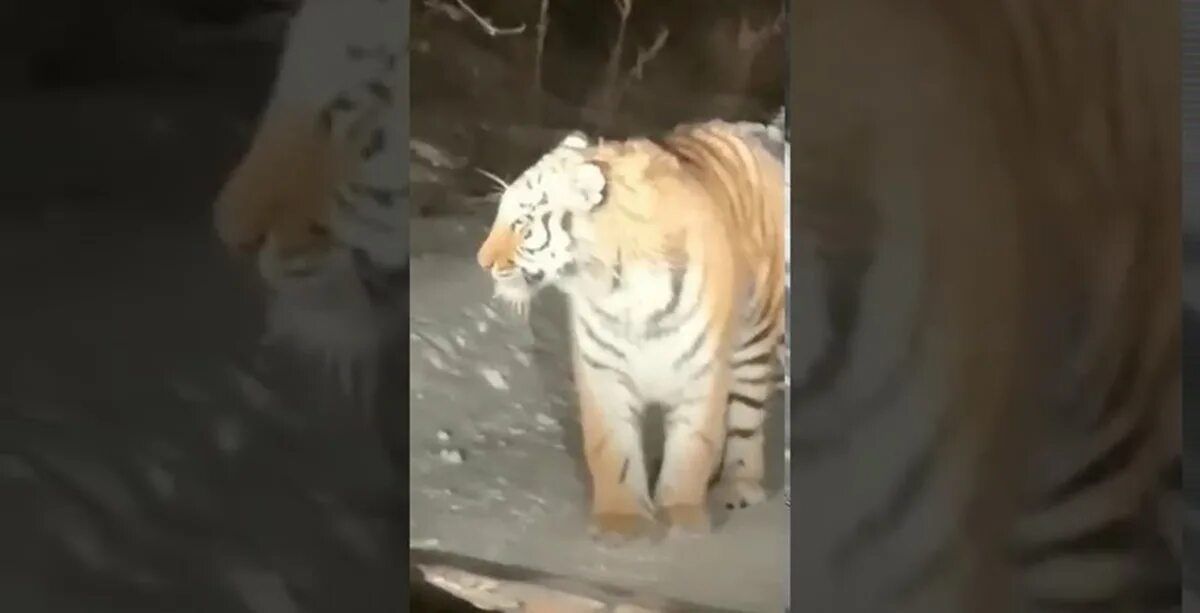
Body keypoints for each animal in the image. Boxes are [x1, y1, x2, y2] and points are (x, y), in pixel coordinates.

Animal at [475, 117, 787, 539]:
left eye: (523, 225)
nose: (482, 261)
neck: (618, 288)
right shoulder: (603, 369)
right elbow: (613, 447)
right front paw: (622, 523)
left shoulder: (701, 370)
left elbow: (691, 447)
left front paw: (681, 518)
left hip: (754, 337)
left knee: (745, 418)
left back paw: (736, 486)